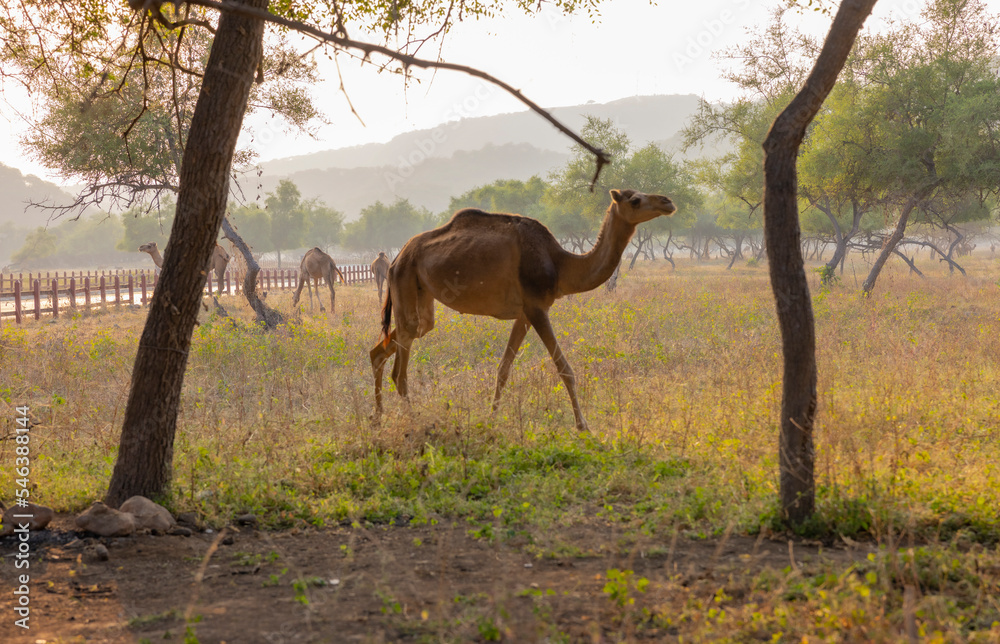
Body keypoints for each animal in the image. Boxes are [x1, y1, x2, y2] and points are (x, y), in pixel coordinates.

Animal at [369, 189, 677, 431]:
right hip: (405, 280)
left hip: (421, 298)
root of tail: (397, 257)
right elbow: (564, 368)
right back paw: (412, 420)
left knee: (384, 348)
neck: (560, 264)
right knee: (401, 369)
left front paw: (492, 419)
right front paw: (583, 427)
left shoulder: (524, 314)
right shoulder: (537, 307)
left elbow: (504, 369)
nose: (668, 201)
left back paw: (378, 417)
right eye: (635, 200)